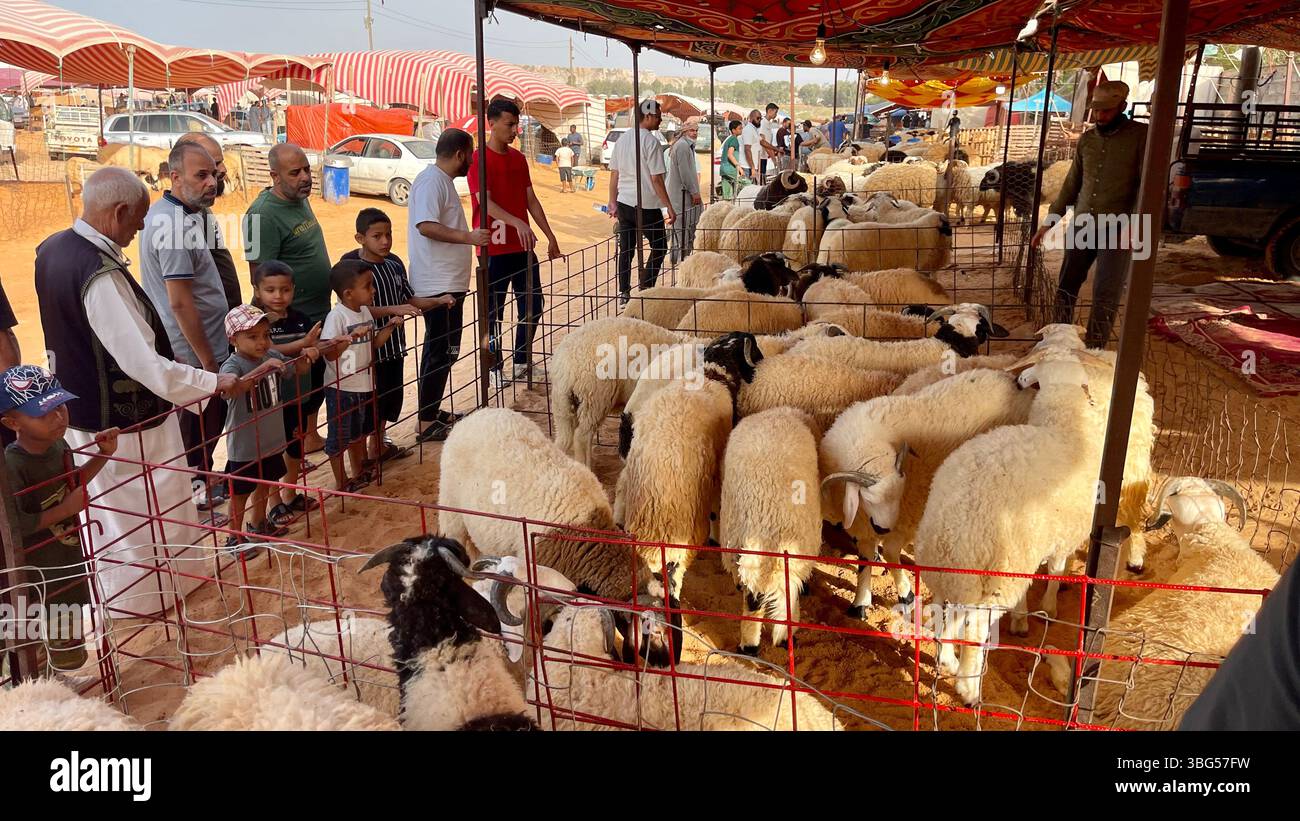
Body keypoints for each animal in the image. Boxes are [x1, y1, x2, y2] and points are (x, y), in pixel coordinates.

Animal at [820, 368, 1036, 617]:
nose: (883, 528)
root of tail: (1010, 380)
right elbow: (865, 558)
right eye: (867, 497)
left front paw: (906, 595)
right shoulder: (862, 526)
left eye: (900, 493)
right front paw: (860, 601)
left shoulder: (906, 518)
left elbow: (891, 554)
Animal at [914, 348, 1110, 705]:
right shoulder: (1059, 538)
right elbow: (1055, 572)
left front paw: (1023, 616)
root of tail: (954, 531)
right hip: (996, 577)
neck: (1064, 426)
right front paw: (1045, 609)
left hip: (948, 574)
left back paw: (947, 658)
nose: (1019, 381)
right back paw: (968, 687)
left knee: (942, 613)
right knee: (975, 629)